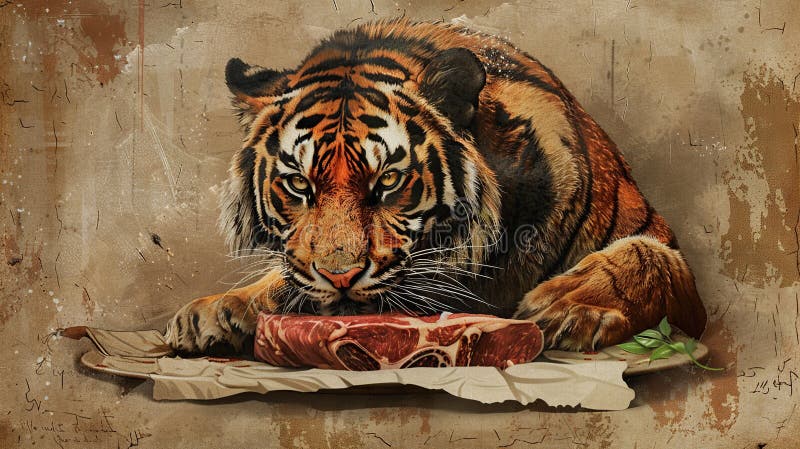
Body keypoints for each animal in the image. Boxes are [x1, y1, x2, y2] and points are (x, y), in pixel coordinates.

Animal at [165, 18, 707, 355]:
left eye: (388, 181)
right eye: (299, 183)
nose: (341, 277)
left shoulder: (677, 274)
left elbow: (647, 257)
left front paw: (566, 304)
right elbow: (289, 276)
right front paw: (215, 313)